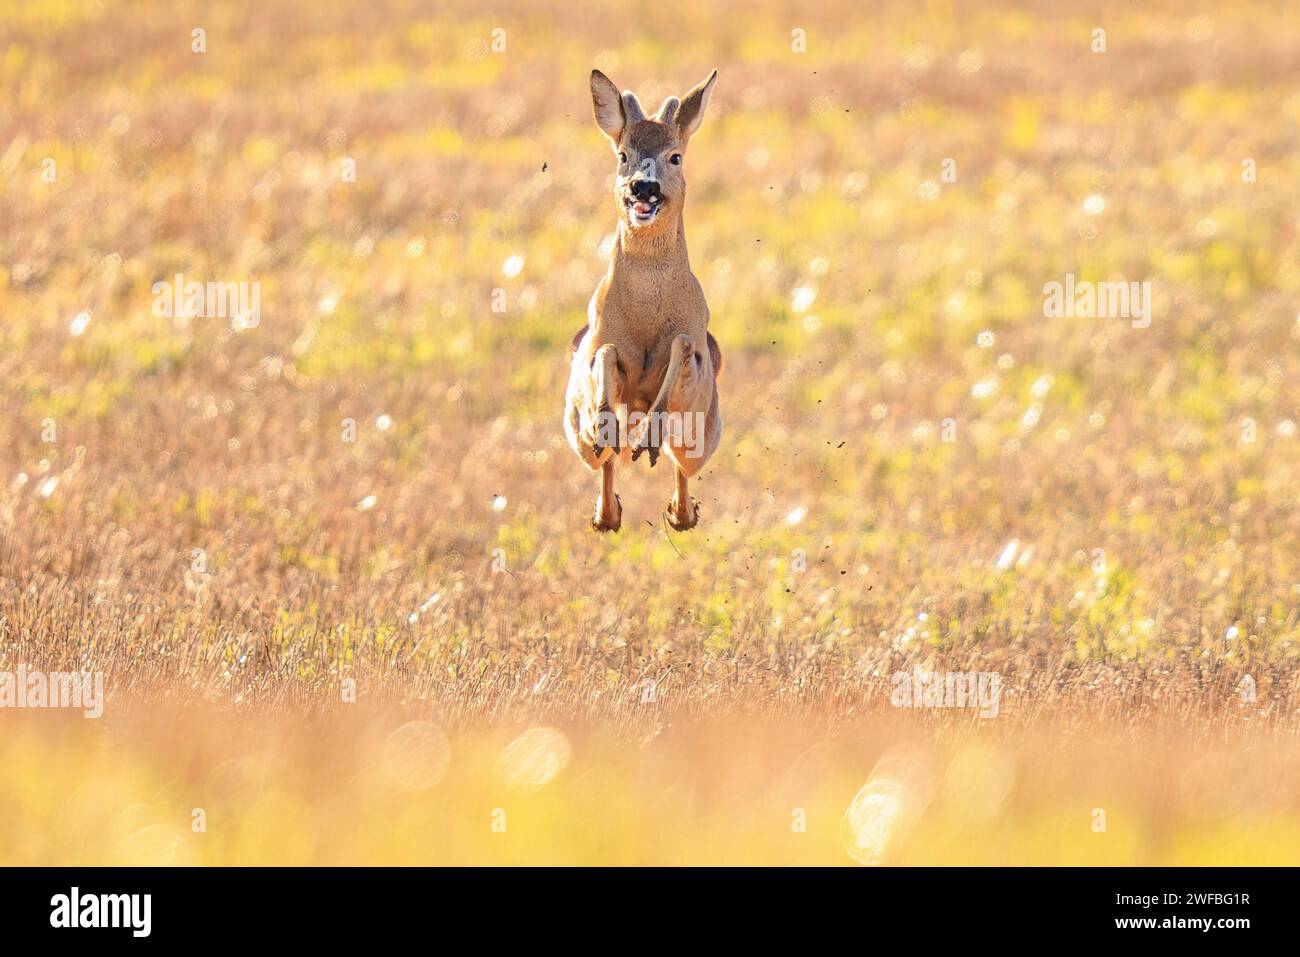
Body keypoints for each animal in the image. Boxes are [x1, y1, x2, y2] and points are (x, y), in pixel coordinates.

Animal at [563, 69, 723, 533]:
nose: (643, 186)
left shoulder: (694, 353)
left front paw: (649, 436)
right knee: (602, 460)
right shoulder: (596, 342)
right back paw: (607, 514)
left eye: (675, 156)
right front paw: (607, 425)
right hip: (574, 429)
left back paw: (679, 512)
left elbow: (681, 345)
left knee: (681, 467)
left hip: (706, 431)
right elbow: (606, 354)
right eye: (623, 155)